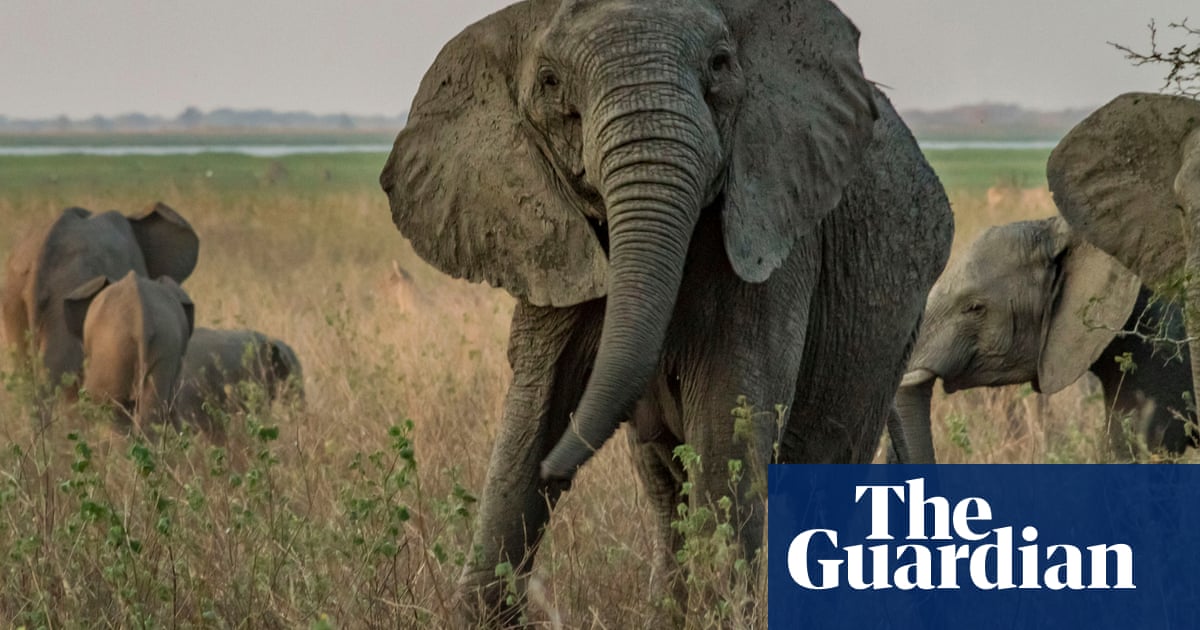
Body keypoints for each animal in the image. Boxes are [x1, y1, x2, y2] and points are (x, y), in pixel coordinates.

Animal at [379, 0, 953, 623]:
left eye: (721, 64)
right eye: (550, 83)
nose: (559, 469)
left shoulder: (772, 225)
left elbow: (729, 415)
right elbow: (535, 406)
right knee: (664, 485)